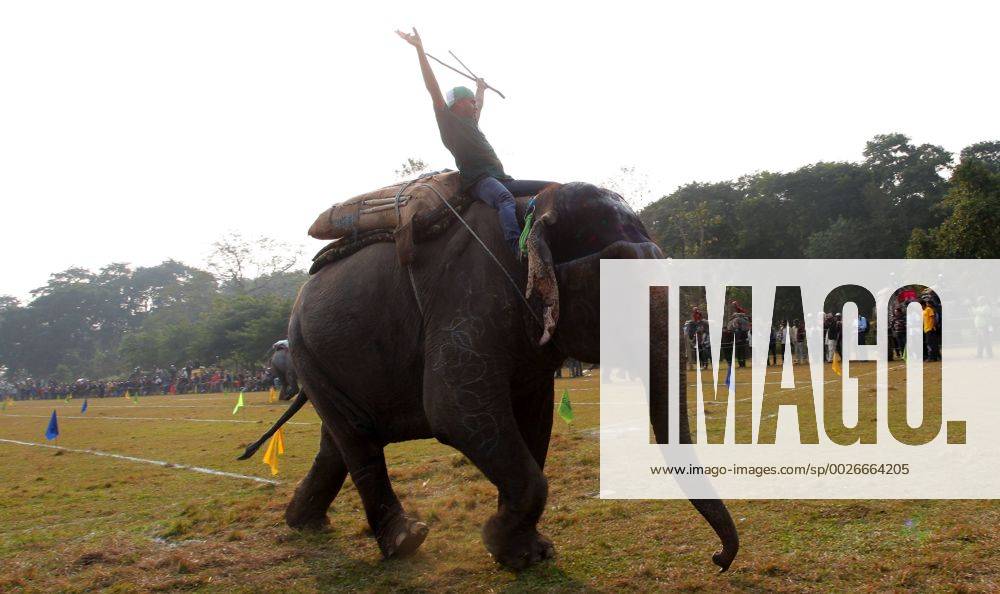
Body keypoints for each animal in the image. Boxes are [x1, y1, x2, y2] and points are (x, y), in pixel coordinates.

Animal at [281, 182, 739, 571]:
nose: (717, 559)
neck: (531, 211)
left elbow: (534, 418)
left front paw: (528, 552)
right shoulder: (467, 300)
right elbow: (455, 412)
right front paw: (501, 543)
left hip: (322, 357)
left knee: (339, 438)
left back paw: (302, 521)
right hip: (306, 350)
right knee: (357, 440)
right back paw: (404, 540)